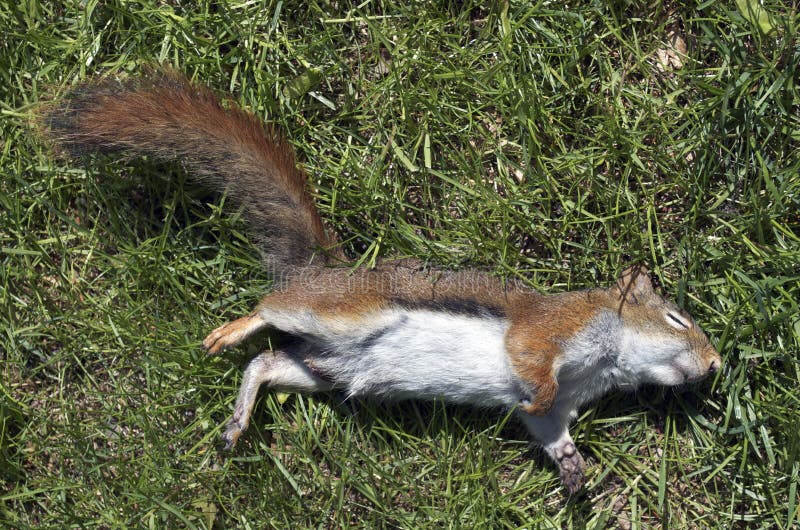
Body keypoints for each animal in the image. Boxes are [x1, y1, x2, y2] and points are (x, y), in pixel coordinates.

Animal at [40, 68, 722, 493]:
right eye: (676, 318)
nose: (715, 364)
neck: (605, 358)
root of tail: (320, 273)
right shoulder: (549, 330)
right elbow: (531, 369)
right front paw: (533, 400)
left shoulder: (564, 410)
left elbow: (549, 431)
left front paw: (573, 469)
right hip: (333, 314)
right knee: (268, 308)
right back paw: (231, 330)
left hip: (320, 369)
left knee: (265, 364)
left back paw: (238, 417)